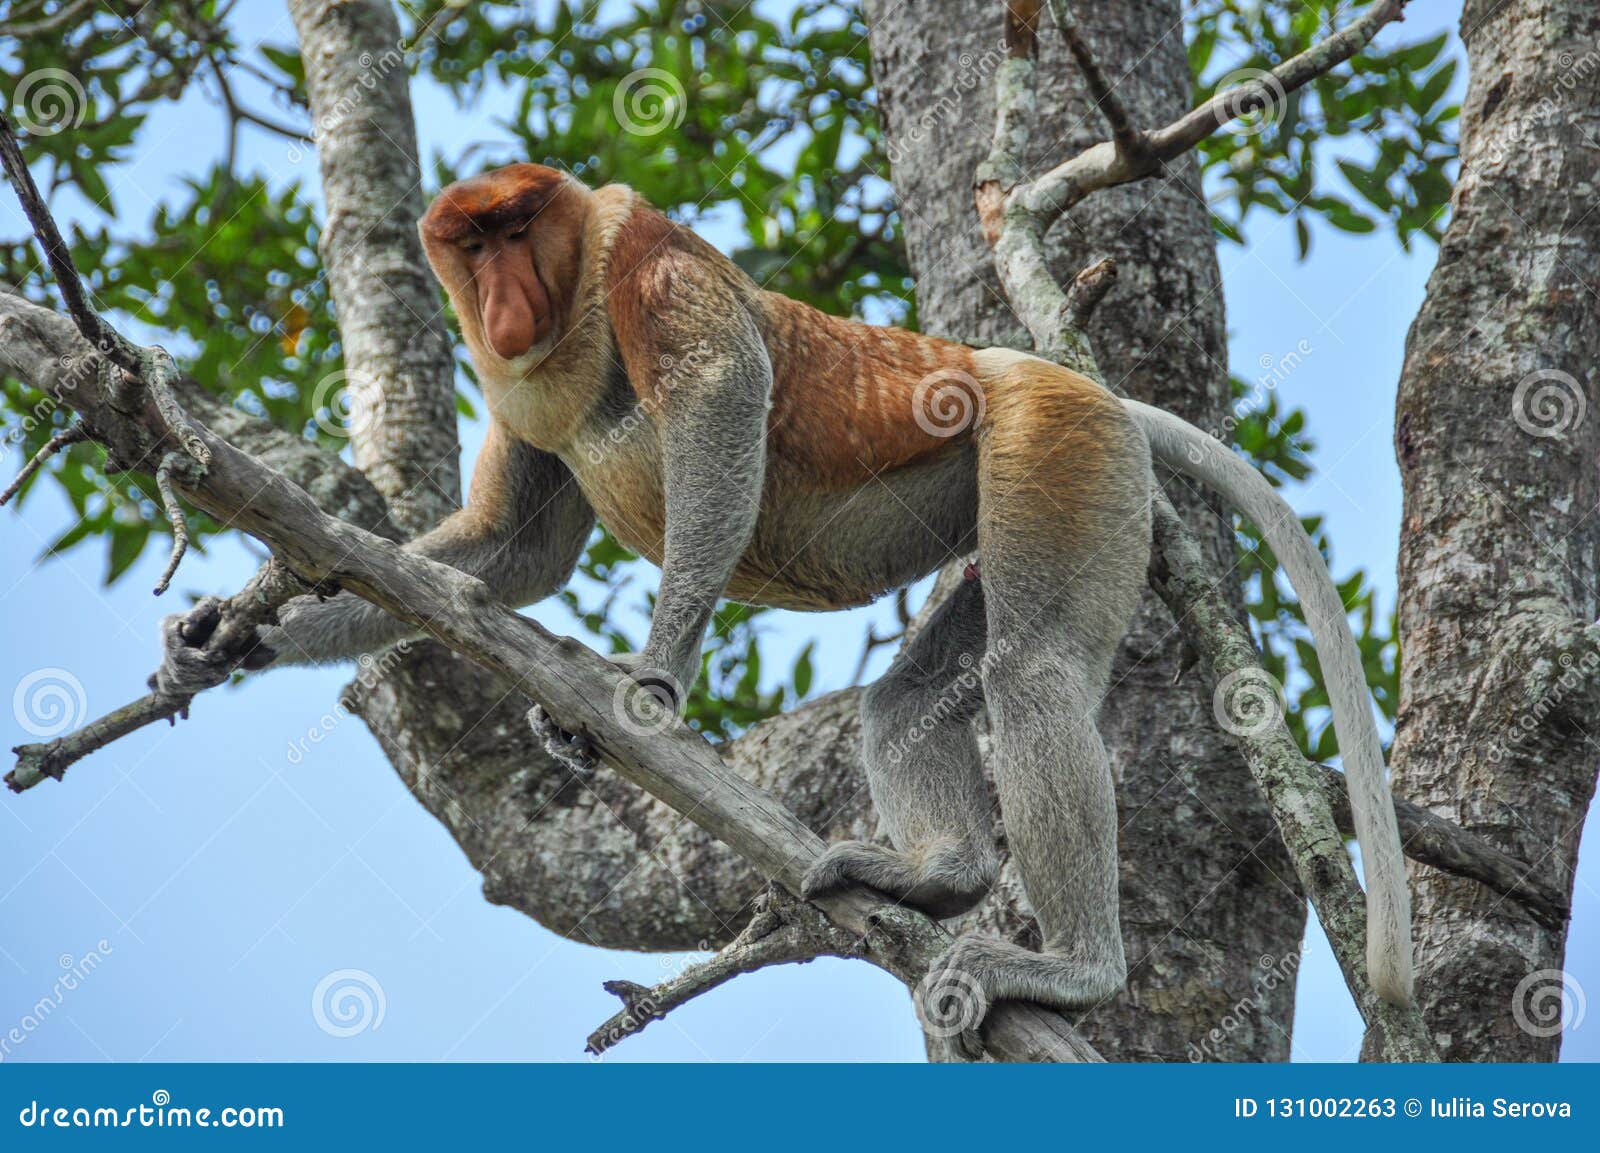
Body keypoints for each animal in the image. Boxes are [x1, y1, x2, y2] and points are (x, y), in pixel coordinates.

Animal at [153, 163, 1413, 1049]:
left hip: (1056, 450)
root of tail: (1045, 372)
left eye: (517, 230)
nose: (502, 300)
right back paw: (936, 876)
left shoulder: (654, 268)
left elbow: (719, 407)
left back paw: (1071, 969)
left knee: (1033, 675)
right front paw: (221, 637)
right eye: (469, 241)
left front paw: (647, 682)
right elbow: (511, 554)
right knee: (910, 701)